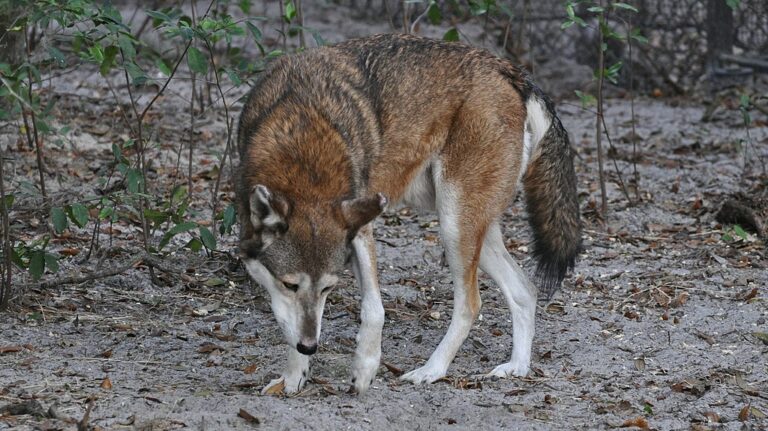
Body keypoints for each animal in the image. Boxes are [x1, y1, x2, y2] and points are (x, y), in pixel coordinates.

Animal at [236, 33, 581, 395]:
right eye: (290, 285)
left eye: (330, 288)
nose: (310, 347)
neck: (302, 152)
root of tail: (510, 71)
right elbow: (290, 323)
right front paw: (293, 377)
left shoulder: (361, 229)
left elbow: (374, 311)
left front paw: (365, 370)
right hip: (474, 232)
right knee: (525, 291)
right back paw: (517, 367)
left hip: (454, 227)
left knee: (471, 305)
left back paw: (432, 370)